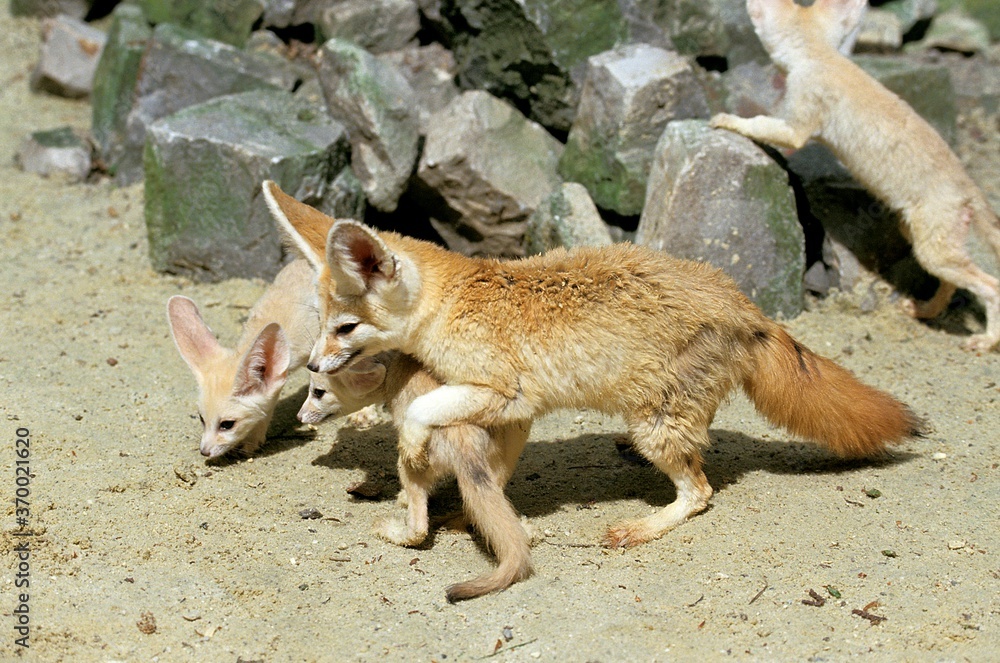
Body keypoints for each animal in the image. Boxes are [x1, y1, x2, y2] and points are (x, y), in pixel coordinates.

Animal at [262, 180, 925, 549]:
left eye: (346, 328)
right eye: (322, 323)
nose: (313, 366)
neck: (455, 302)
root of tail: (744, 303)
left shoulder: (506, 392)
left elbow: (423, 410)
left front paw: (412, 456)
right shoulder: (518, 415)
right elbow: (495, 469)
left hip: (656, 425)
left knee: (701, 493)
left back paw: (642, 527)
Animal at [298, 351, 533, 601]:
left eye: (318, 392)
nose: (299, 416)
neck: (392, 361)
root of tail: (464, 441)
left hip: (407, 464)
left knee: (419, 530)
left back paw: (389, 528)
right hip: (501, 456)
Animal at [709, 0, 1000, 352]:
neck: (823, 55)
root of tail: (969, 186)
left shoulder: (798, 121)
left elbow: (763, 125)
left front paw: (727, 119)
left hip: (935, 248)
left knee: (991, 285)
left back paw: (986, 340)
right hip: (921, 238)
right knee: (952, 282)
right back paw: (925, 309)